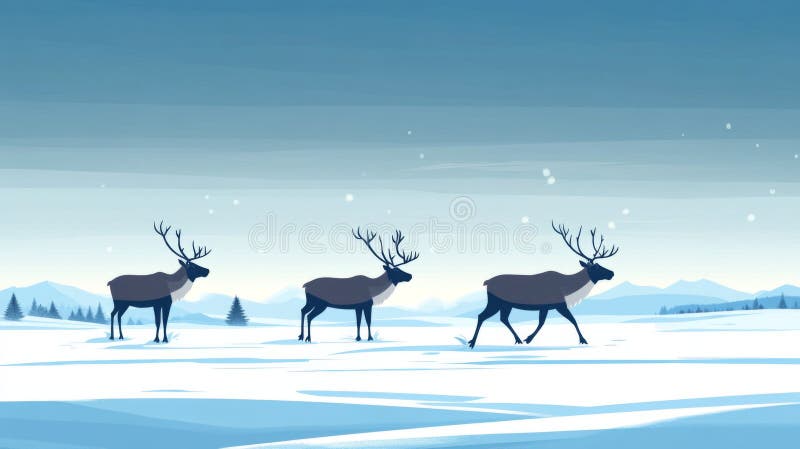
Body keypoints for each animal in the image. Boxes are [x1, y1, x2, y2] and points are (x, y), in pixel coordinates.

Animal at [467, 221, 618, 348]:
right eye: (596, 267)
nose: (612, 273)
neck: (568, 289)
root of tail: (486, 282)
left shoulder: (546, 307)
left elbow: (543, 322)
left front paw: (527, 338)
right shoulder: (558, 305)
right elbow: (571, 320)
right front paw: (583, 340)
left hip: (505, 304)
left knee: (503, 318)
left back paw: (517, 339)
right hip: (495, 301)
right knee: (482, 316)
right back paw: (472, 342)